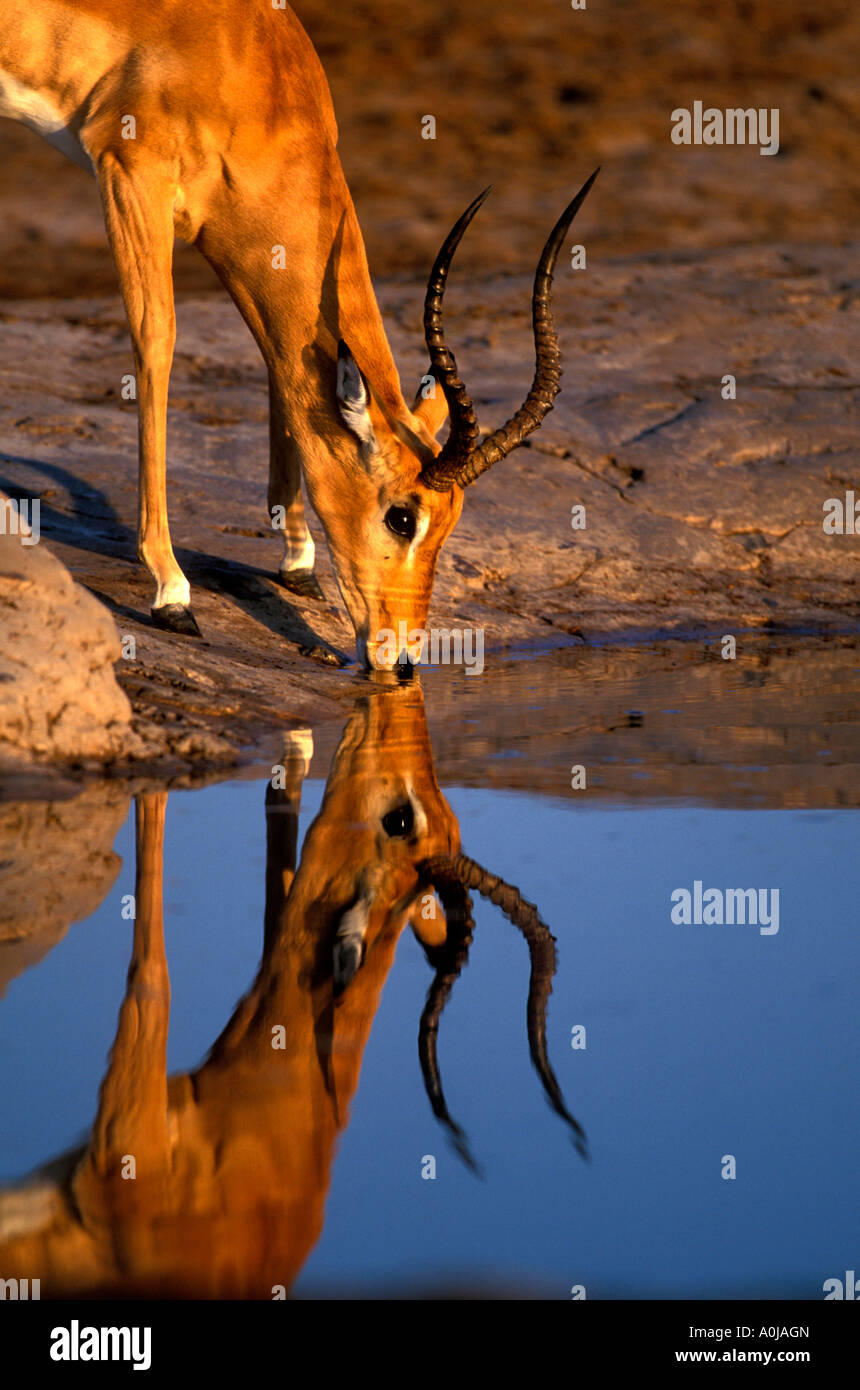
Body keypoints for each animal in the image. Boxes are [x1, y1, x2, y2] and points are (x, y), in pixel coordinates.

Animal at [0, 1, 598, 669]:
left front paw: (298, 562)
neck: (246, 62)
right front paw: (173, 592)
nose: (401, 657)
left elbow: (276, 366)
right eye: (402, 517)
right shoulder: (131, 176)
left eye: (453, 520)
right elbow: (157, 342)